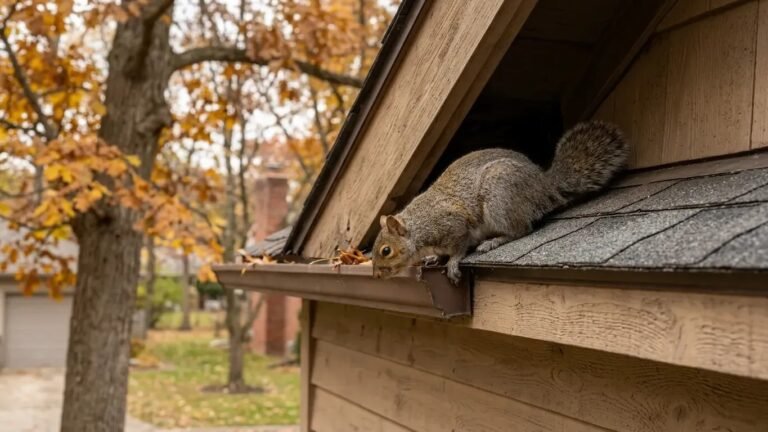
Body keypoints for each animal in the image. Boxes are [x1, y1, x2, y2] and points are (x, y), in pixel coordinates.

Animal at [371, 120, 628, 284]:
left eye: (386, 251)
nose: (376, 276)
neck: (418, 227)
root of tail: (544, 186)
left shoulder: (453, 225)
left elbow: (459, 246)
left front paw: (452, 263)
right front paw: (435, 257)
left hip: (500, 198)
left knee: (521, 229)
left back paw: (493, 241)